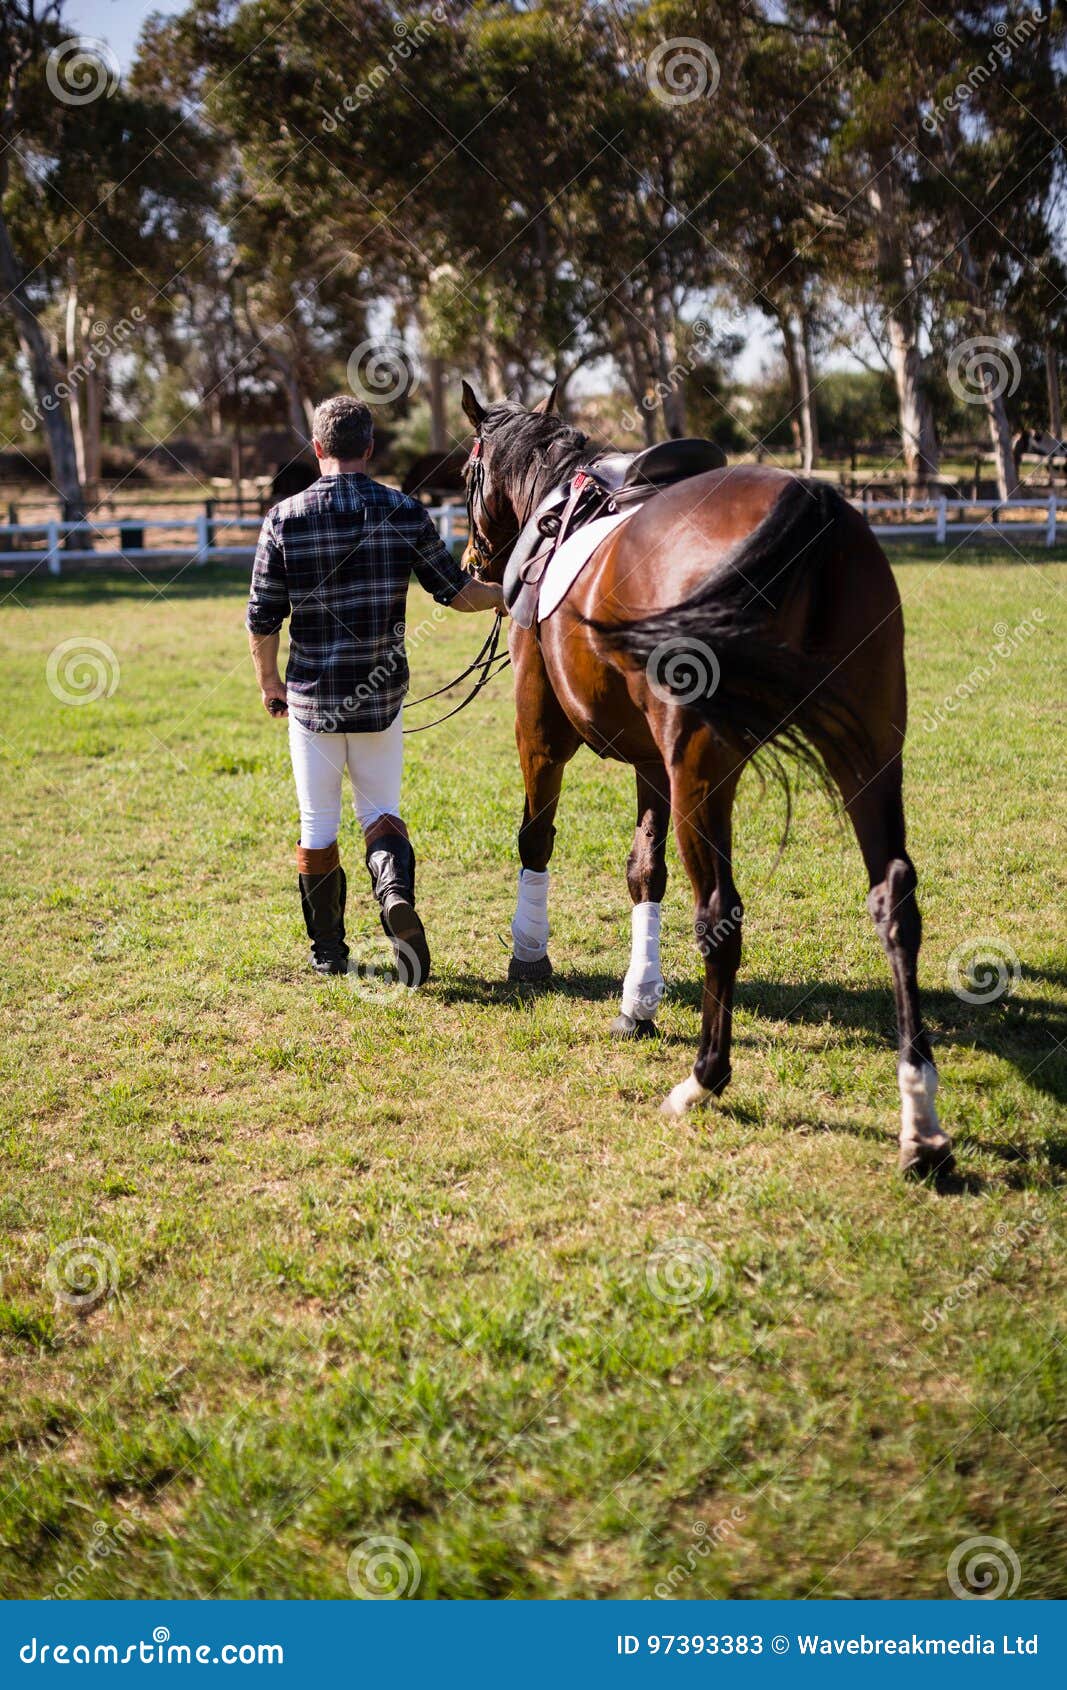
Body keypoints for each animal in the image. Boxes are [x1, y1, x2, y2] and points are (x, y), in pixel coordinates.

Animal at [460, 381, 952, 1176]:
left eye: (467, 472)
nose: (472, 560)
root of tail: (812, 503)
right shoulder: (650, 762)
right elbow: (643, 871)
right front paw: (638, 1001)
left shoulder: (541, 731)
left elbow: (536, 839)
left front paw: (529, 956)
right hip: (868, 752)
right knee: (894, 902)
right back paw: (921, 1120)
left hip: (703, 767)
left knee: (721, 913)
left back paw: (703, 1079)